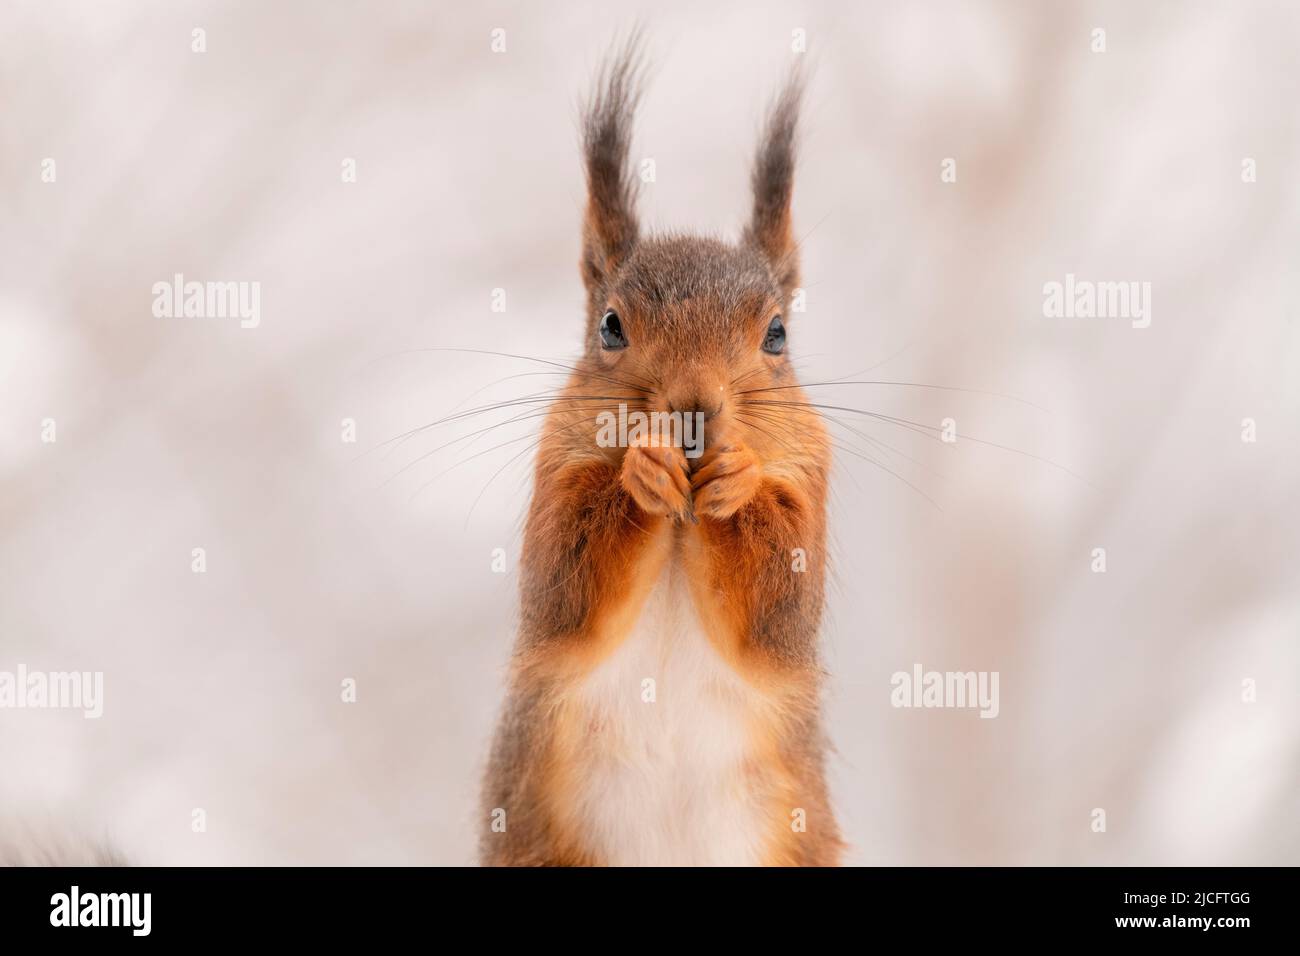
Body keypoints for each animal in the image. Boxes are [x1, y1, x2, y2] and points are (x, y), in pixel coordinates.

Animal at [481, 39, 841, 867]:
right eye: (611, 326)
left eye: (777, 333)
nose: (693, 415)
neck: (682, 525)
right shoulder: (555, 479)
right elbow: (566, 590)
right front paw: (635, 472)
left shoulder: (812, 481)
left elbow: (773, 620)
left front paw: (738, 480)